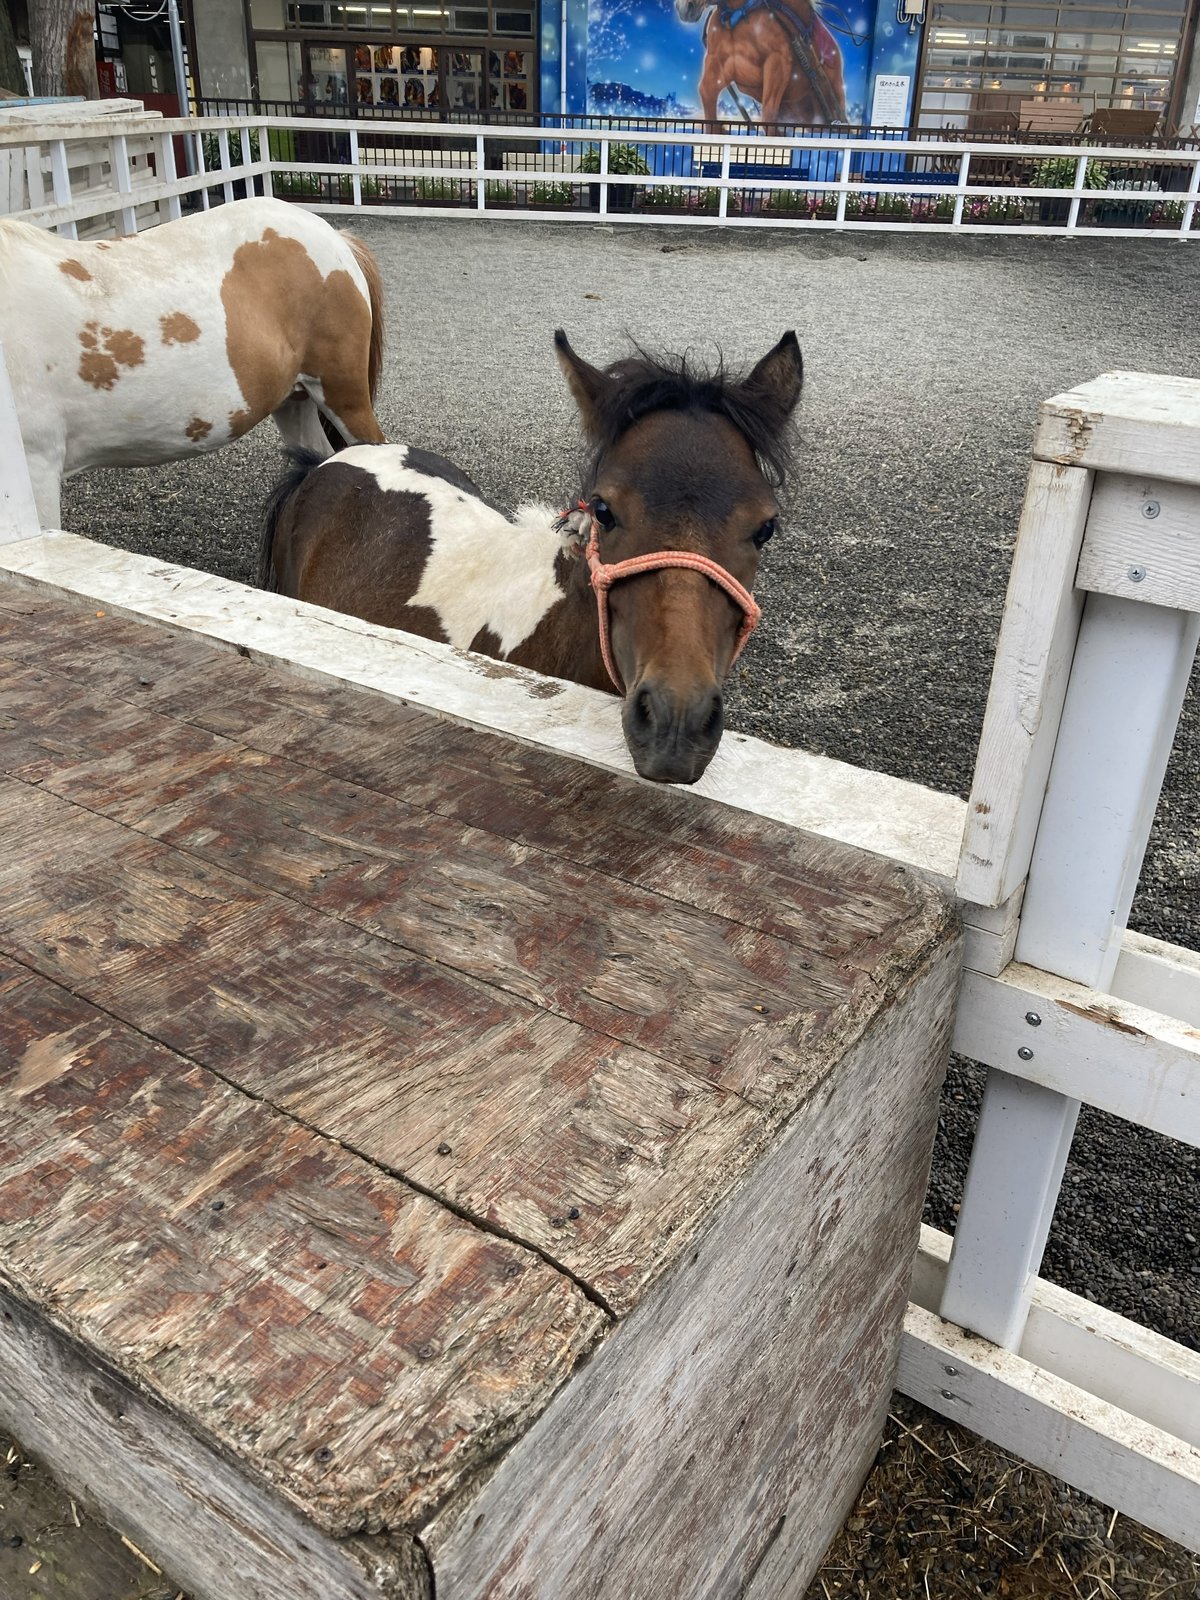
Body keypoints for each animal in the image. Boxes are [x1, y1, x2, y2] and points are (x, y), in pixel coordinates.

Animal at [675, 0, 847, 128]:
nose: (684, 7)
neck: (739, 14)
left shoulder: (777, 63)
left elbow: (768, 114)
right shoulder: (718, 64)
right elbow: (707, 95)